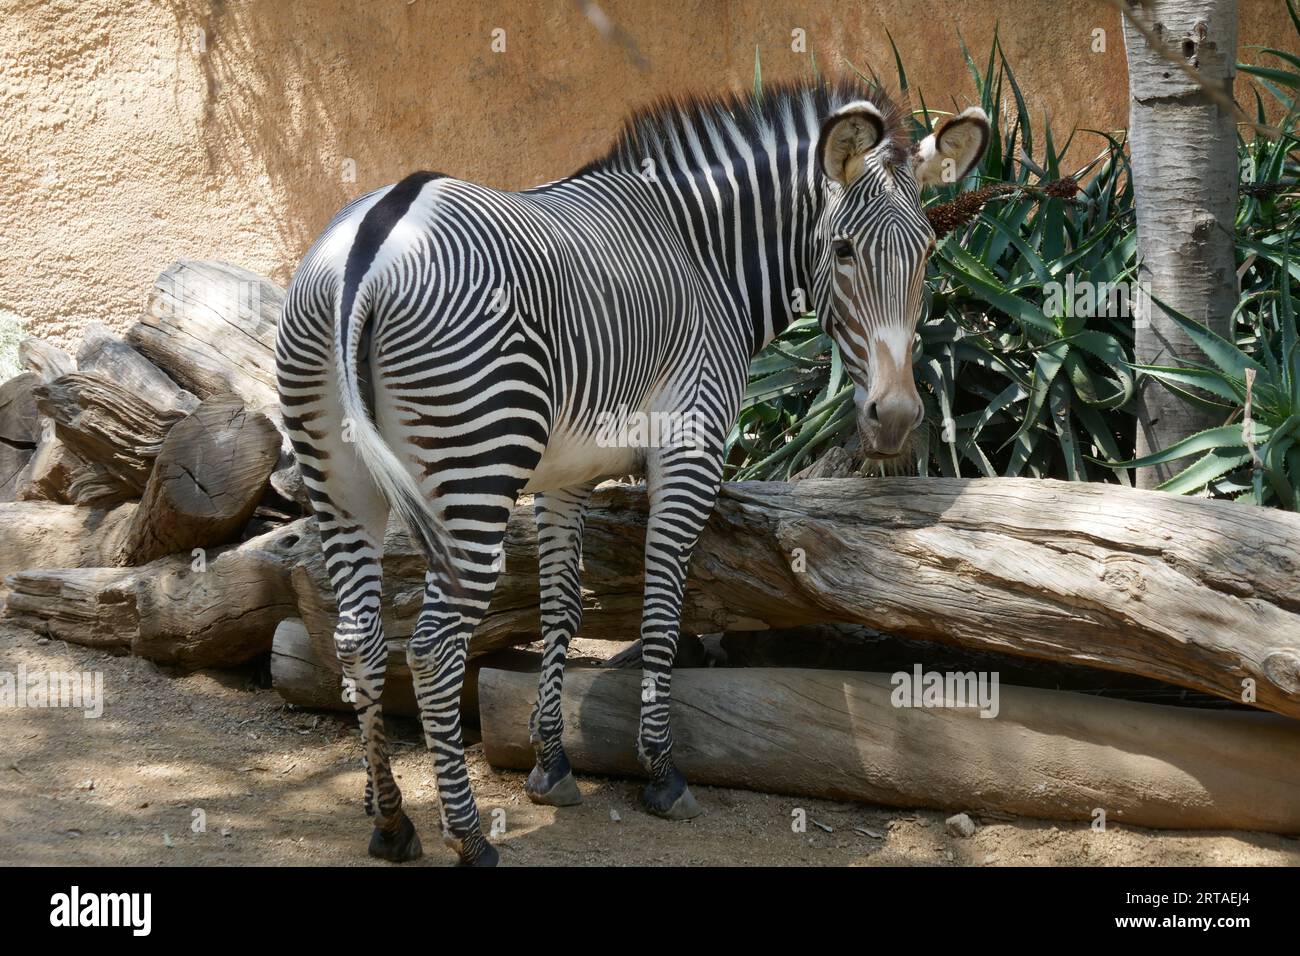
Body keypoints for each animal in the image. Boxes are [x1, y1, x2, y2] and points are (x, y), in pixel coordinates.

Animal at [276, 76, 989, 866]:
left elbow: (563, 607)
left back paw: (390, 820)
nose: (894, 419)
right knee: (431, 651)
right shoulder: (690, 447)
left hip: (339, 482)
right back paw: (468, 835)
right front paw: (661, 771)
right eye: (842, 250)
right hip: (473, 471)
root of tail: (369, 245)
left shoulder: (562, 477)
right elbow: (661, 606)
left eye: (927, 252)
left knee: (360, 640)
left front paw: (551, 765)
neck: (705, 257)